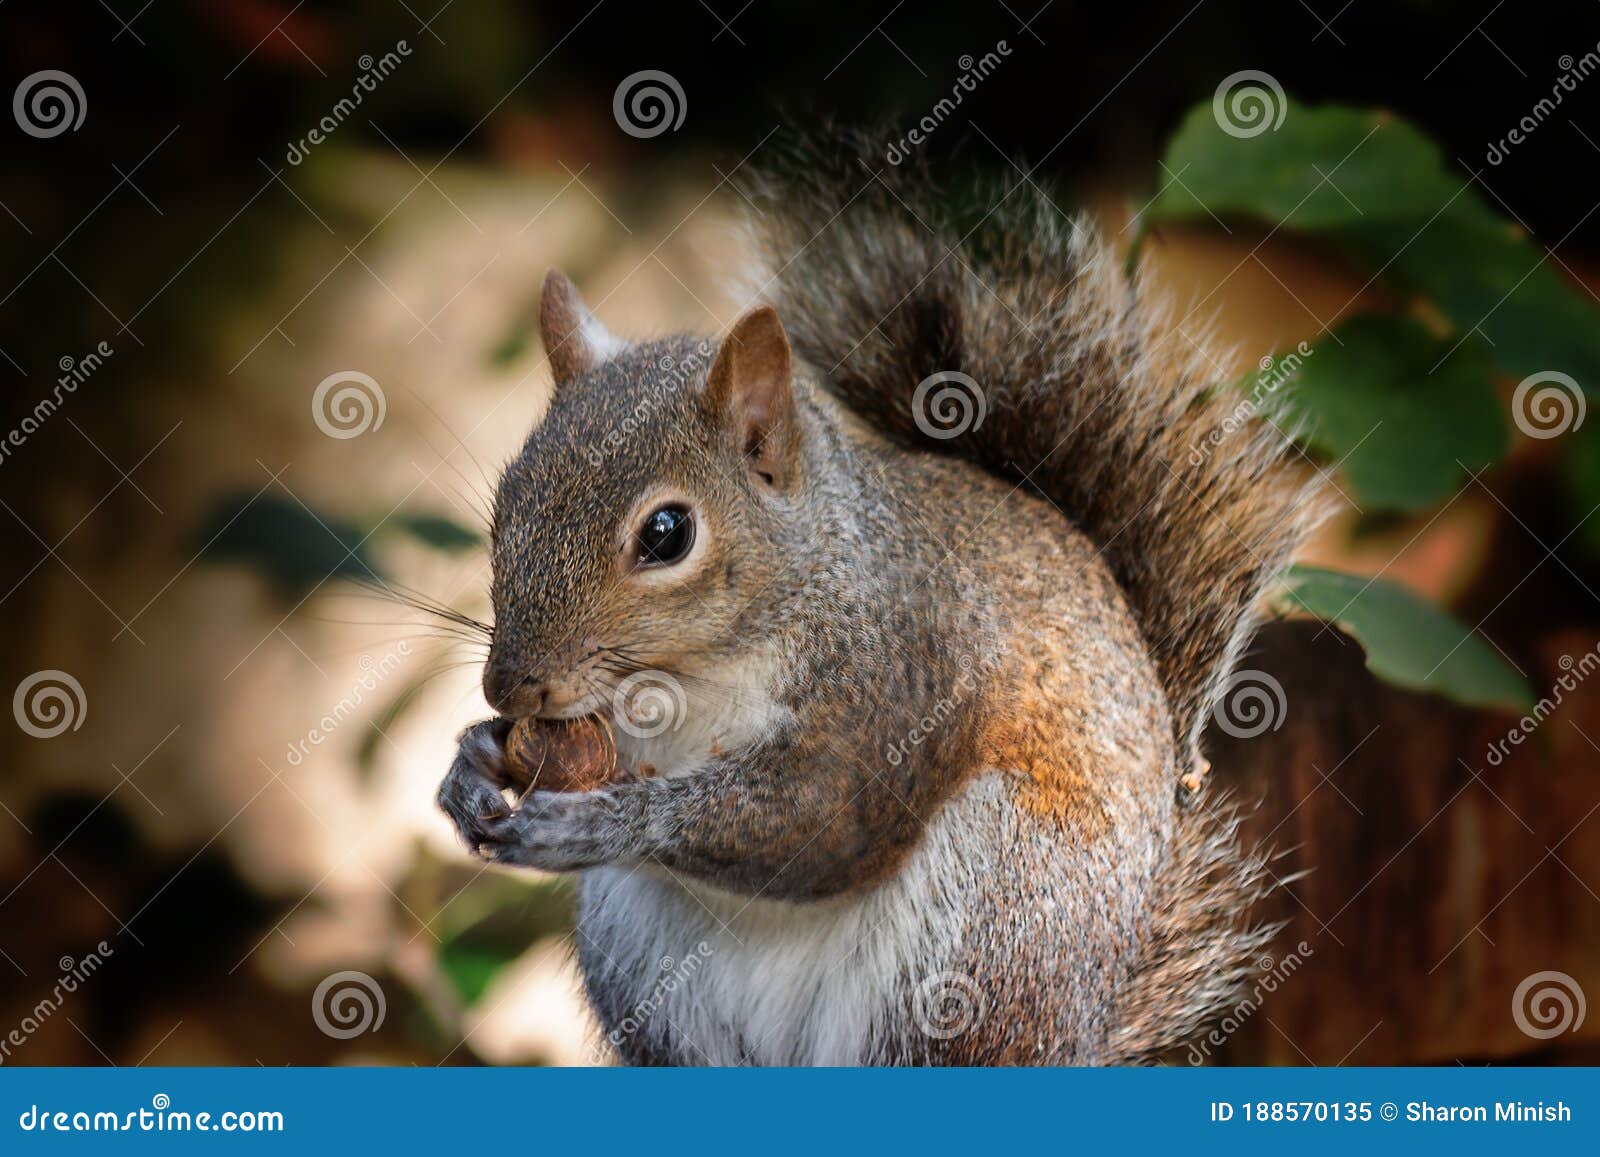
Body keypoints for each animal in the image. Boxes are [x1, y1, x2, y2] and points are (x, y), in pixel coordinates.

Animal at [436, 135, 1326, 1065]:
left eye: (667, 534)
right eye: (506, 499)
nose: (509, 686)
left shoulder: (904, 676)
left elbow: (827, 817)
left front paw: (606, 823)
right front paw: (474, 760)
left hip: (990, 919)